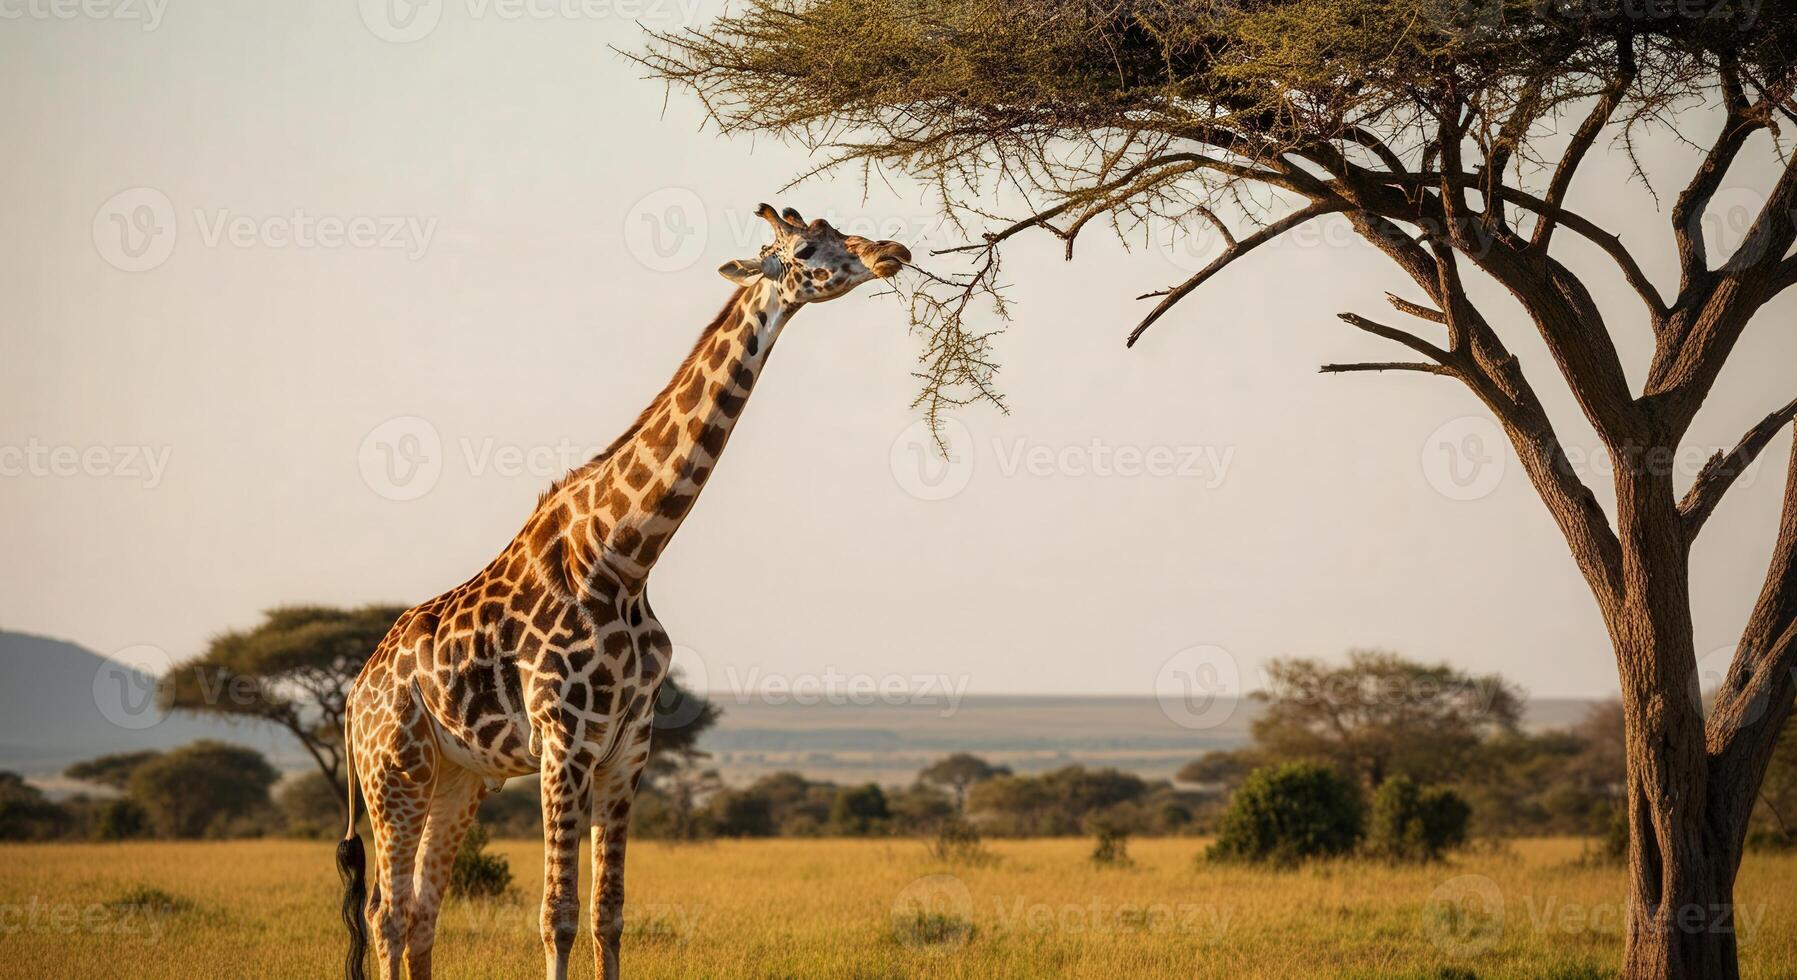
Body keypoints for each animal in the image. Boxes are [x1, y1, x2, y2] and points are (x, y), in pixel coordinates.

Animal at [335, 204, 911, 980]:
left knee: (422, 912)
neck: (624, 558)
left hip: (459, 777)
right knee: (385, 913)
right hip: (395, 766)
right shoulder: (563, 740)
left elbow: (608, 914)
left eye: (840, 227)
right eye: (804, 250)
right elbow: (557, 916)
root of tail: (354, 694)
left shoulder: (628, 747)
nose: (890, 252)